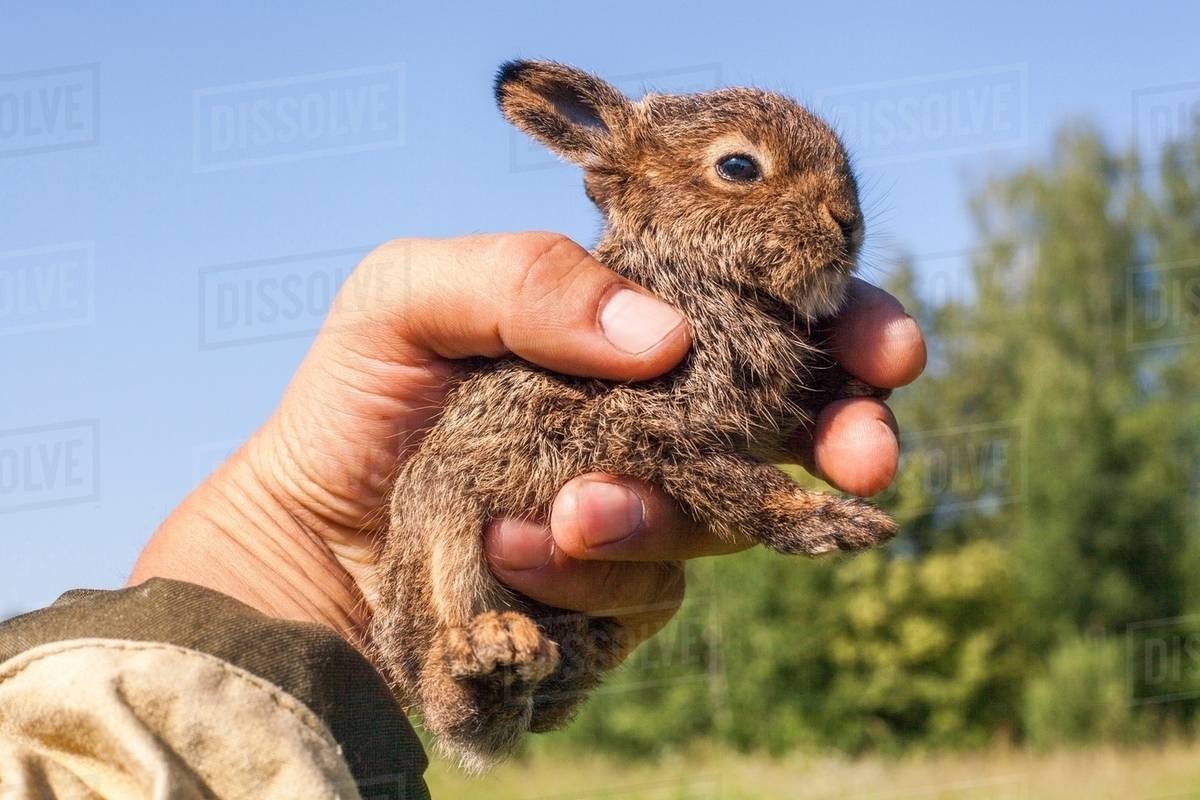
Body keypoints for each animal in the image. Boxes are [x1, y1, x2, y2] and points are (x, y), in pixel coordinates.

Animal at [370, 59, 898, 771]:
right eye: (738, 166)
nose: (849, 223)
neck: (691, 270)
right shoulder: (643, 424)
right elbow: (746, 486)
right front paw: (834, 523)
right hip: (439, 507)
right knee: (448, 655)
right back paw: (493, 647)